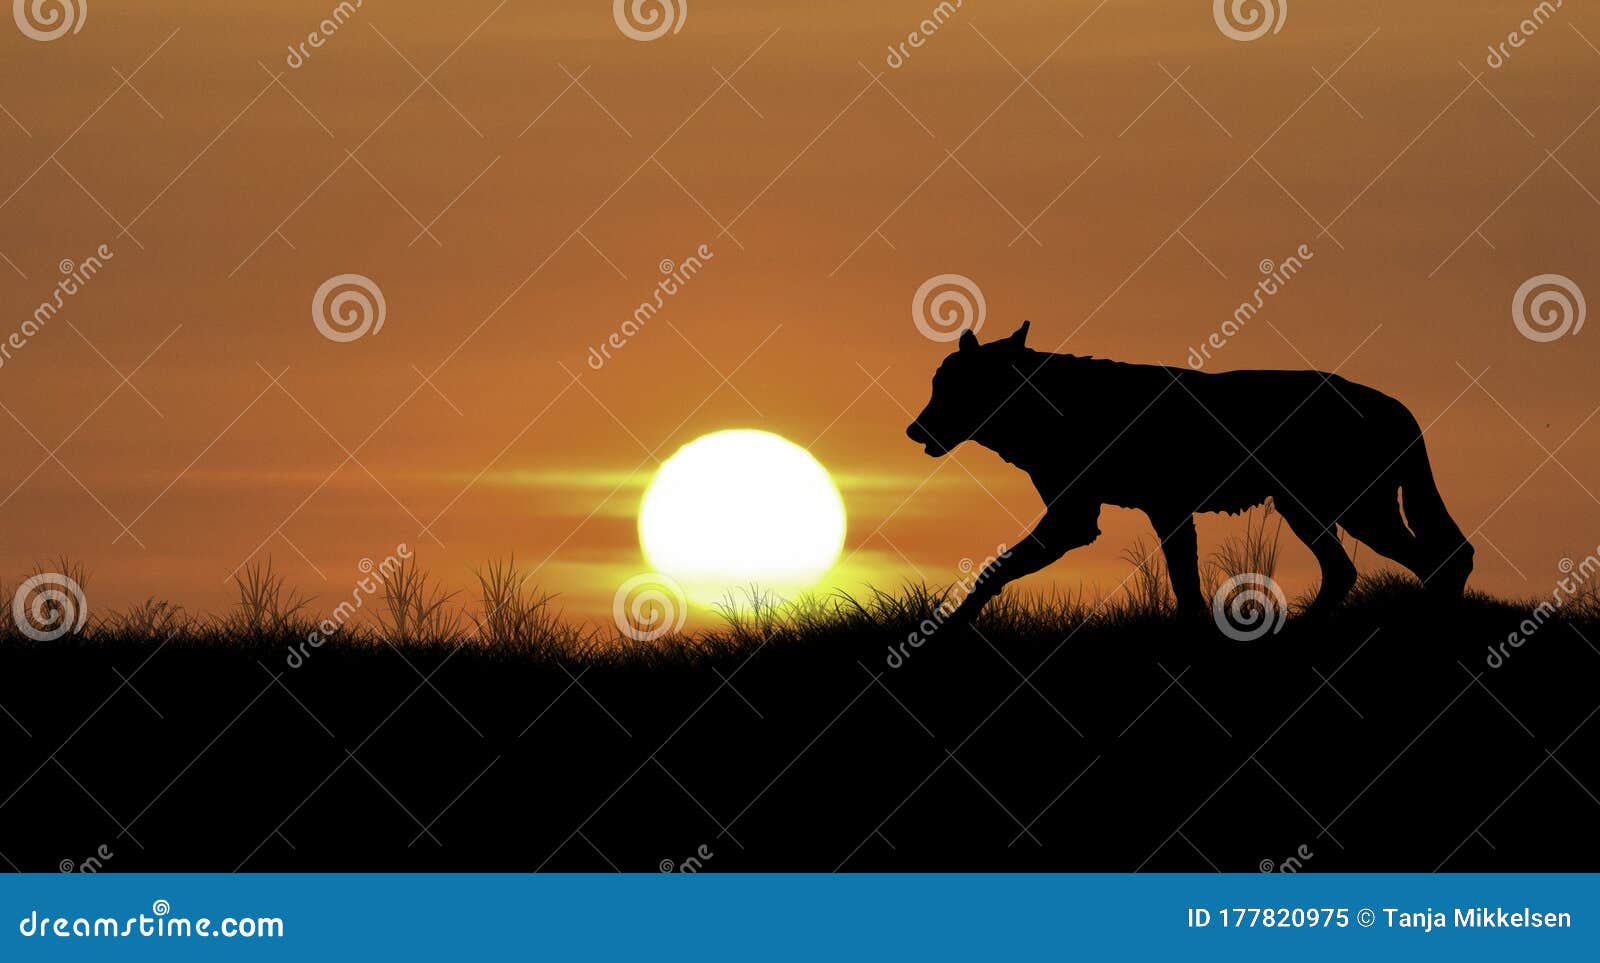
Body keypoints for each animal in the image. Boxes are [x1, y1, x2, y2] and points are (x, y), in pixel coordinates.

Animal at [906, 321, 1473, 625]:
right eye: (937, 384)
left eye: (954, 388)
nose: (914, 431)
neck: (1060, 407)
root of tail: (1398, 408)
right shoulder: (1149, 515)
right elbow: (1187, 586)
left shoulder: (1079, 522)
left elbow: (994, 571)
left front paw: (953, 628)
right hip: (1319, 514)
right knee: (1367, 569)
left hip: (1343, 515)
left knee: (1431, 562)